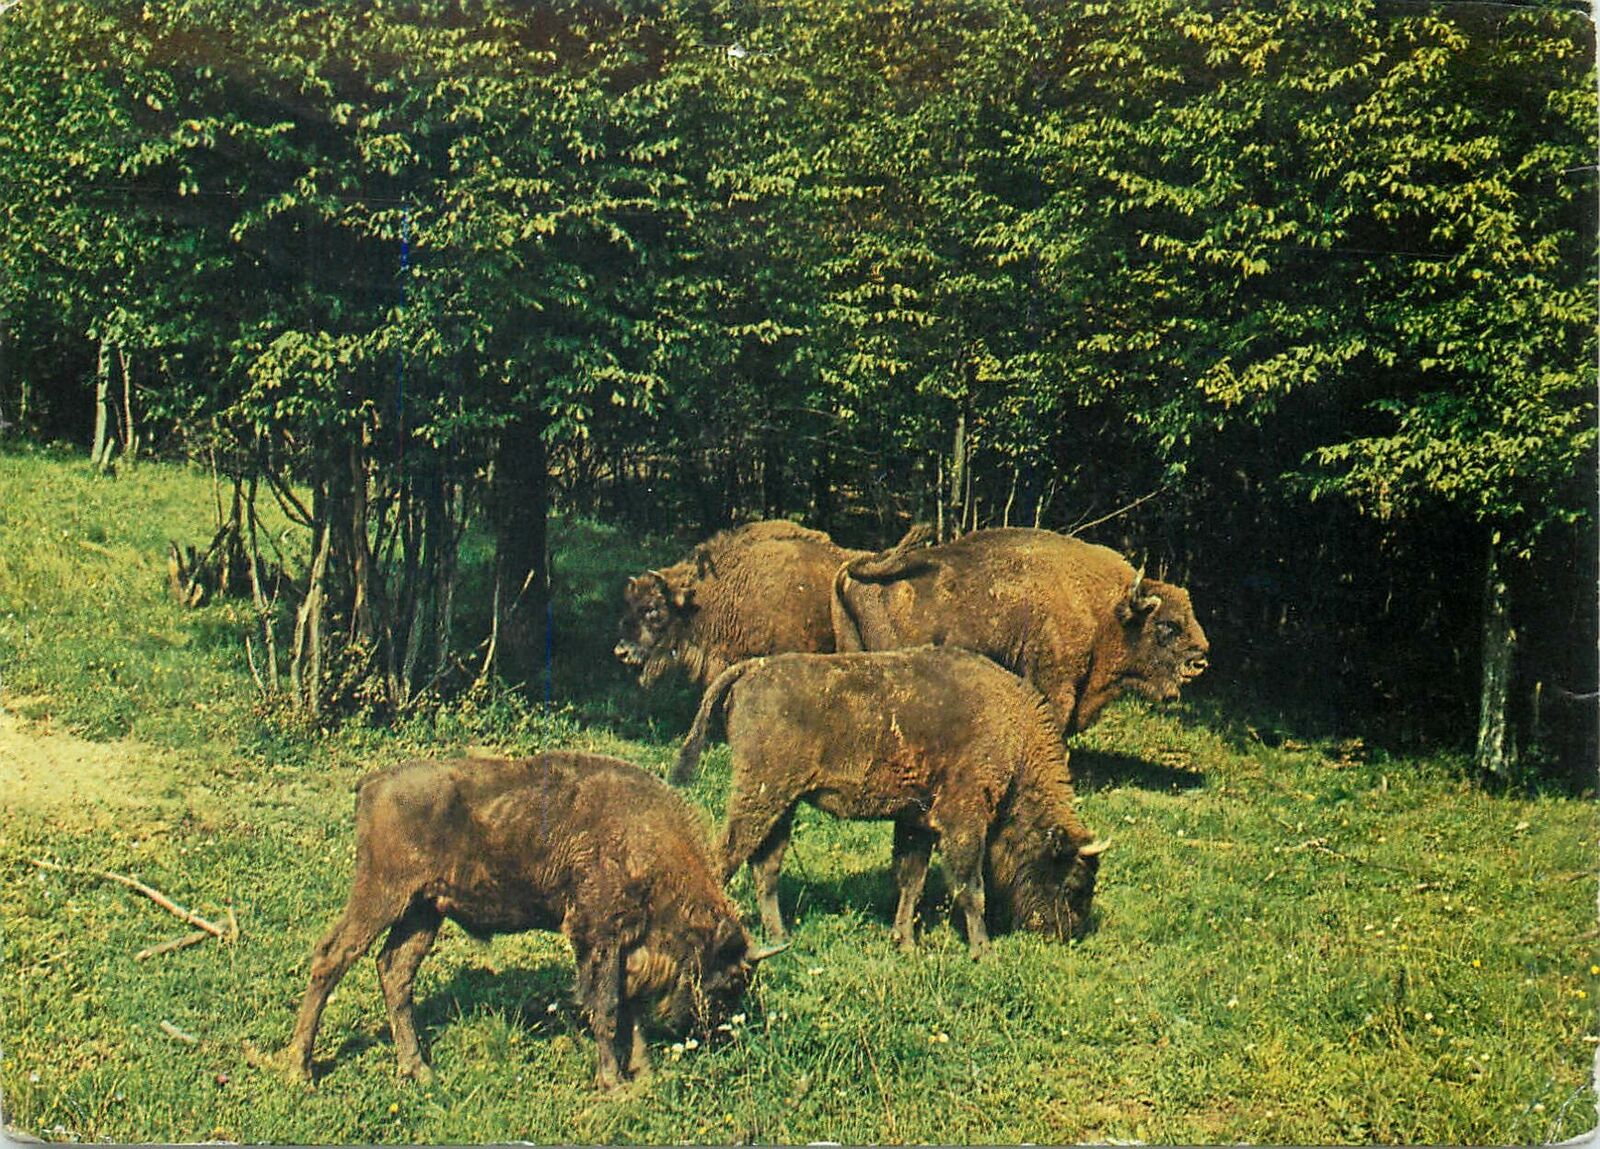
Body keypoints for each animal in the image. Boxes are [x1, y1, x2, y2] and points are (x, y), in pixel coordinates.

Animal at [673, 647, 1109, 959]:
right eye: (1074, 882)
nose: (1066, 934)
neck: (1013, 729)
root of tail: (751, 669)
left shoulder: (917, 823)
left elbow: (910, 882)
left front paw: (906, 942)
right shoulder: (962, 822)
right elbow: (971, 888)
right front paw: (983, 952)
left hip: (783, 804)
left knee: (766, 868)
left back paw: (782, 940)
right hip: (761, 796)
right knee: (725, 858)